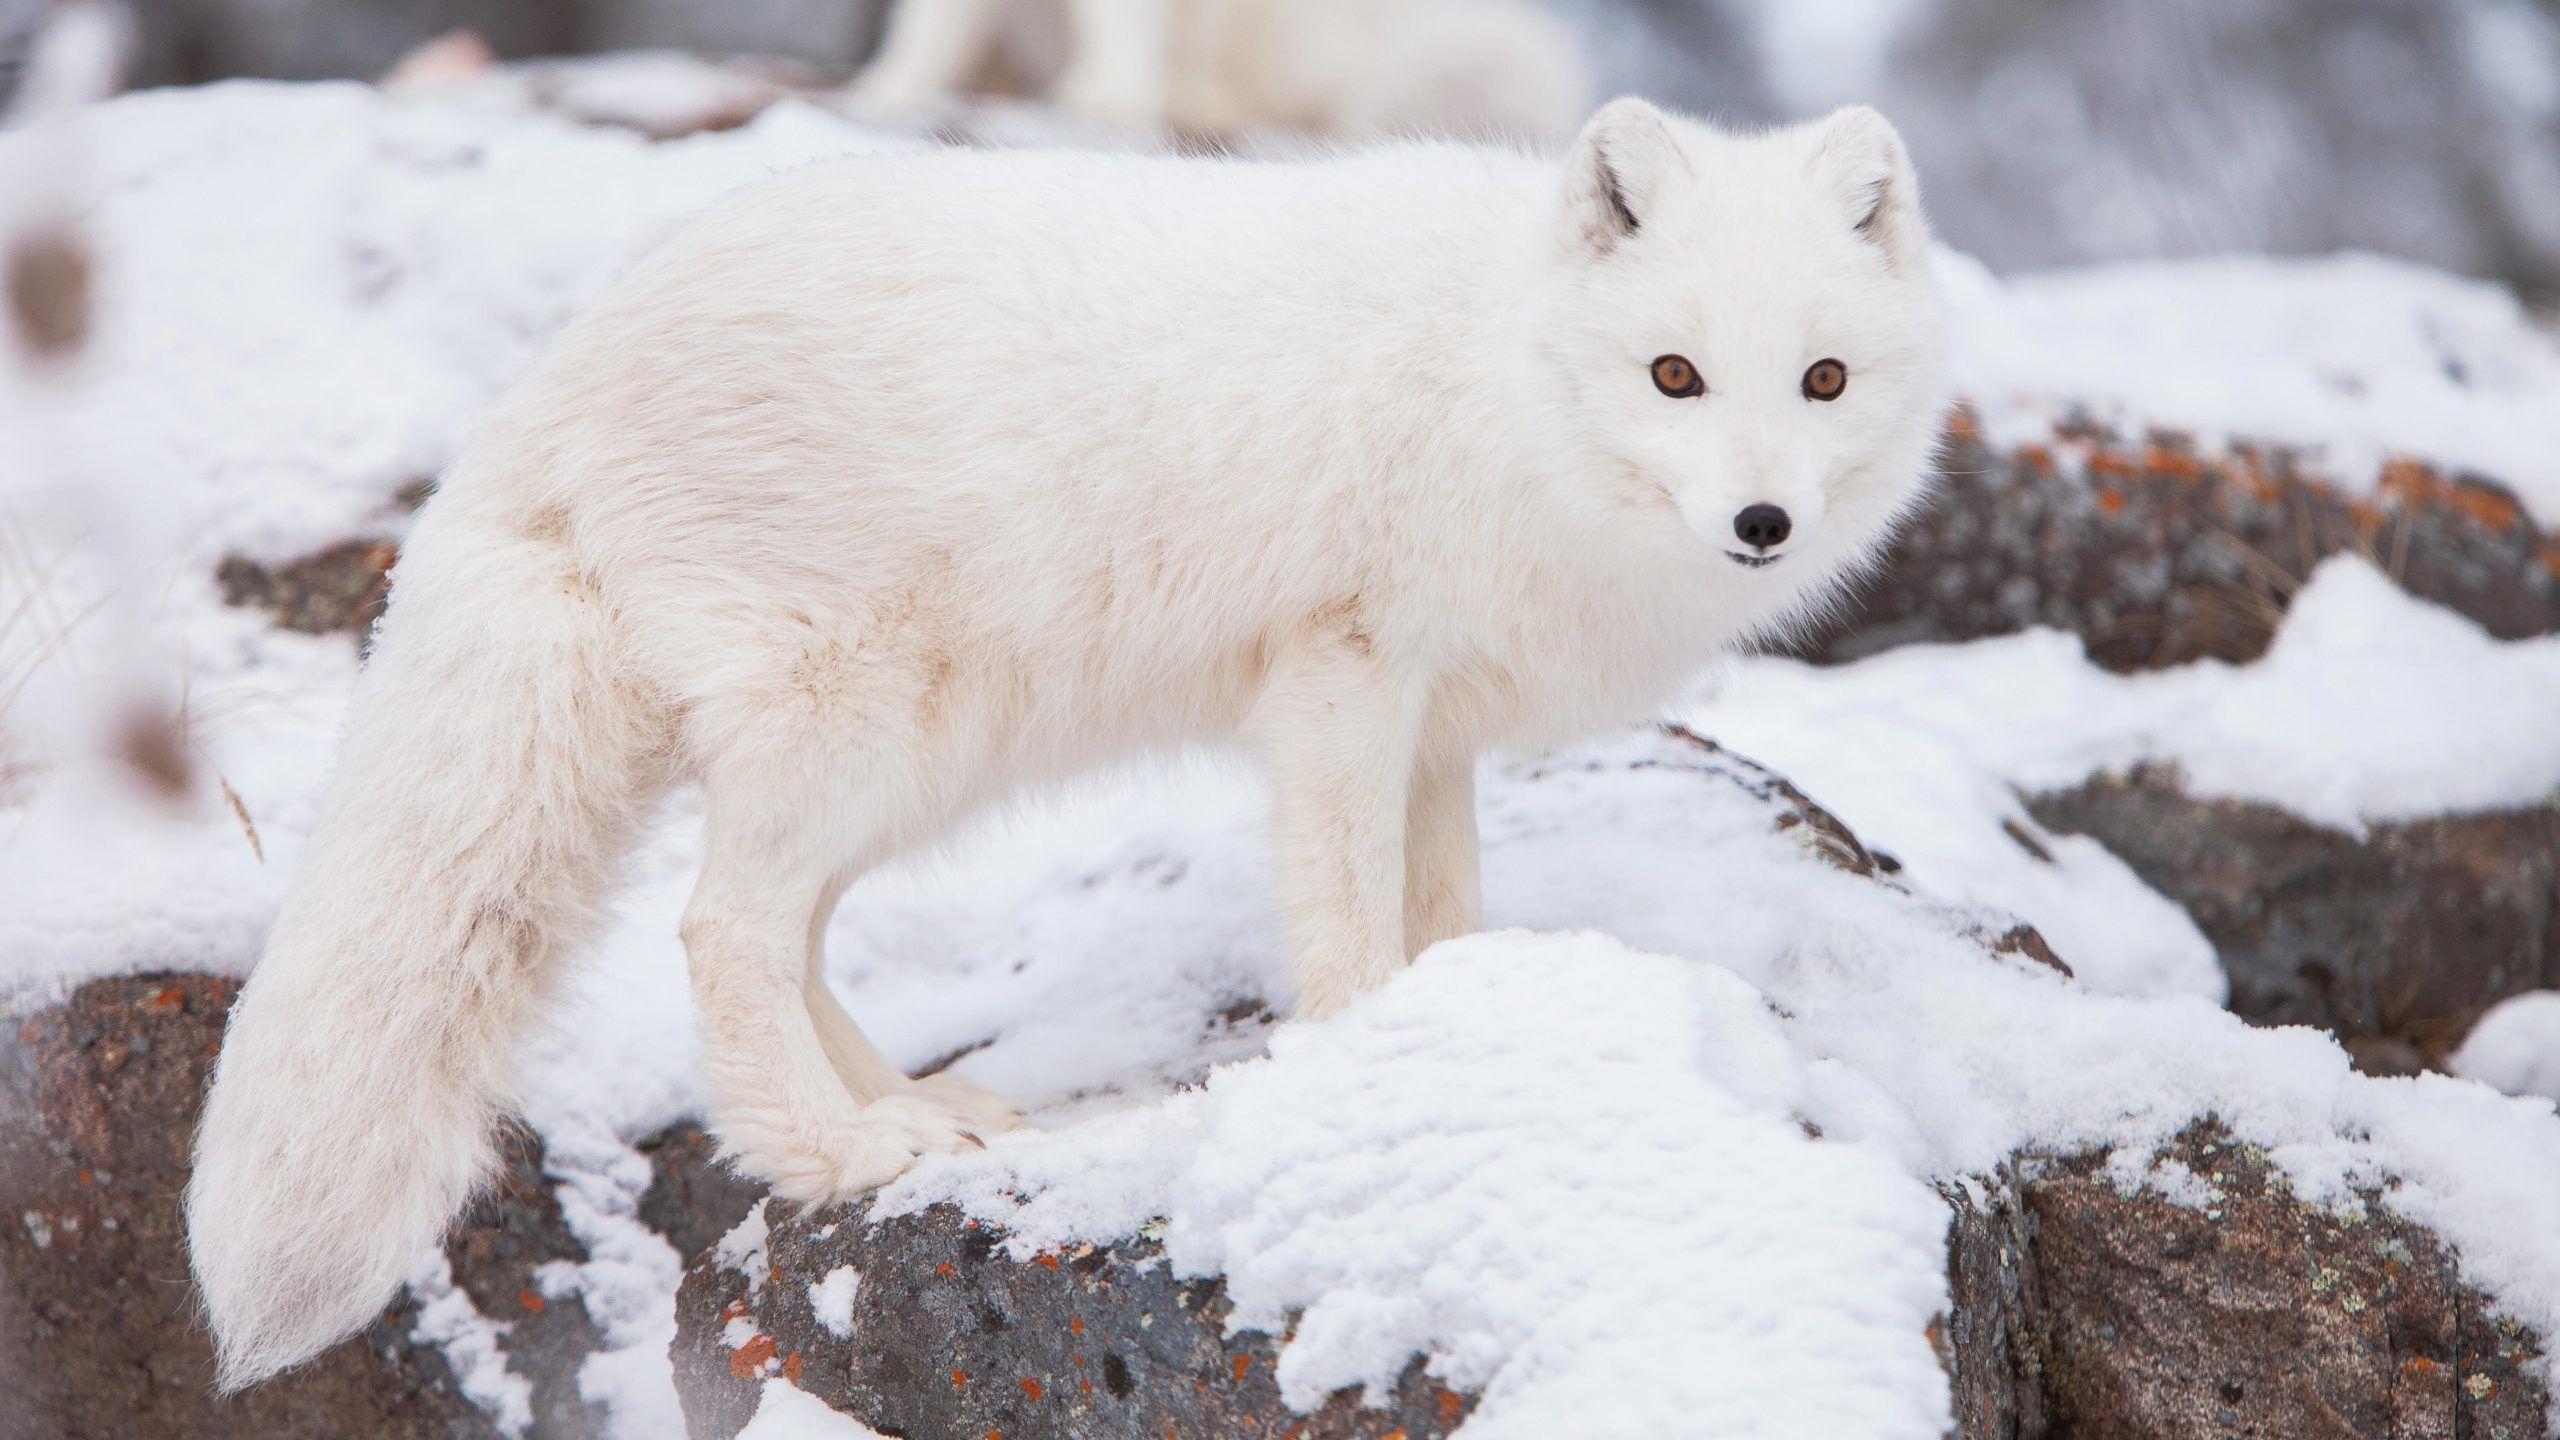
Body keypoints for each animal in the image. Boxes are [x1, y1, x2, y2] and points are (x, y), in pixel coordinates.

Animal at [185, 98, 1949, 1387]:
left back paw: (932, 1113)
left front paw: (1467, 1025)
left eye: (1822, 379)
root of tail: (549, 385)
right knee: (722, 932)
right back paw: (839, 1153)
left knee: (788, 935)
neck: (1495, 385)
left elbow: (1445, 911)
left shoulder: (1435, 731)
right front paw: (1366, 1065)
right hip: (859, 725)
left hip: (914, 758)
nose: (1763, 524)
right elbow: (1349, 924)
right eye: (1674, 375)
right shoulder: (1341, 679)